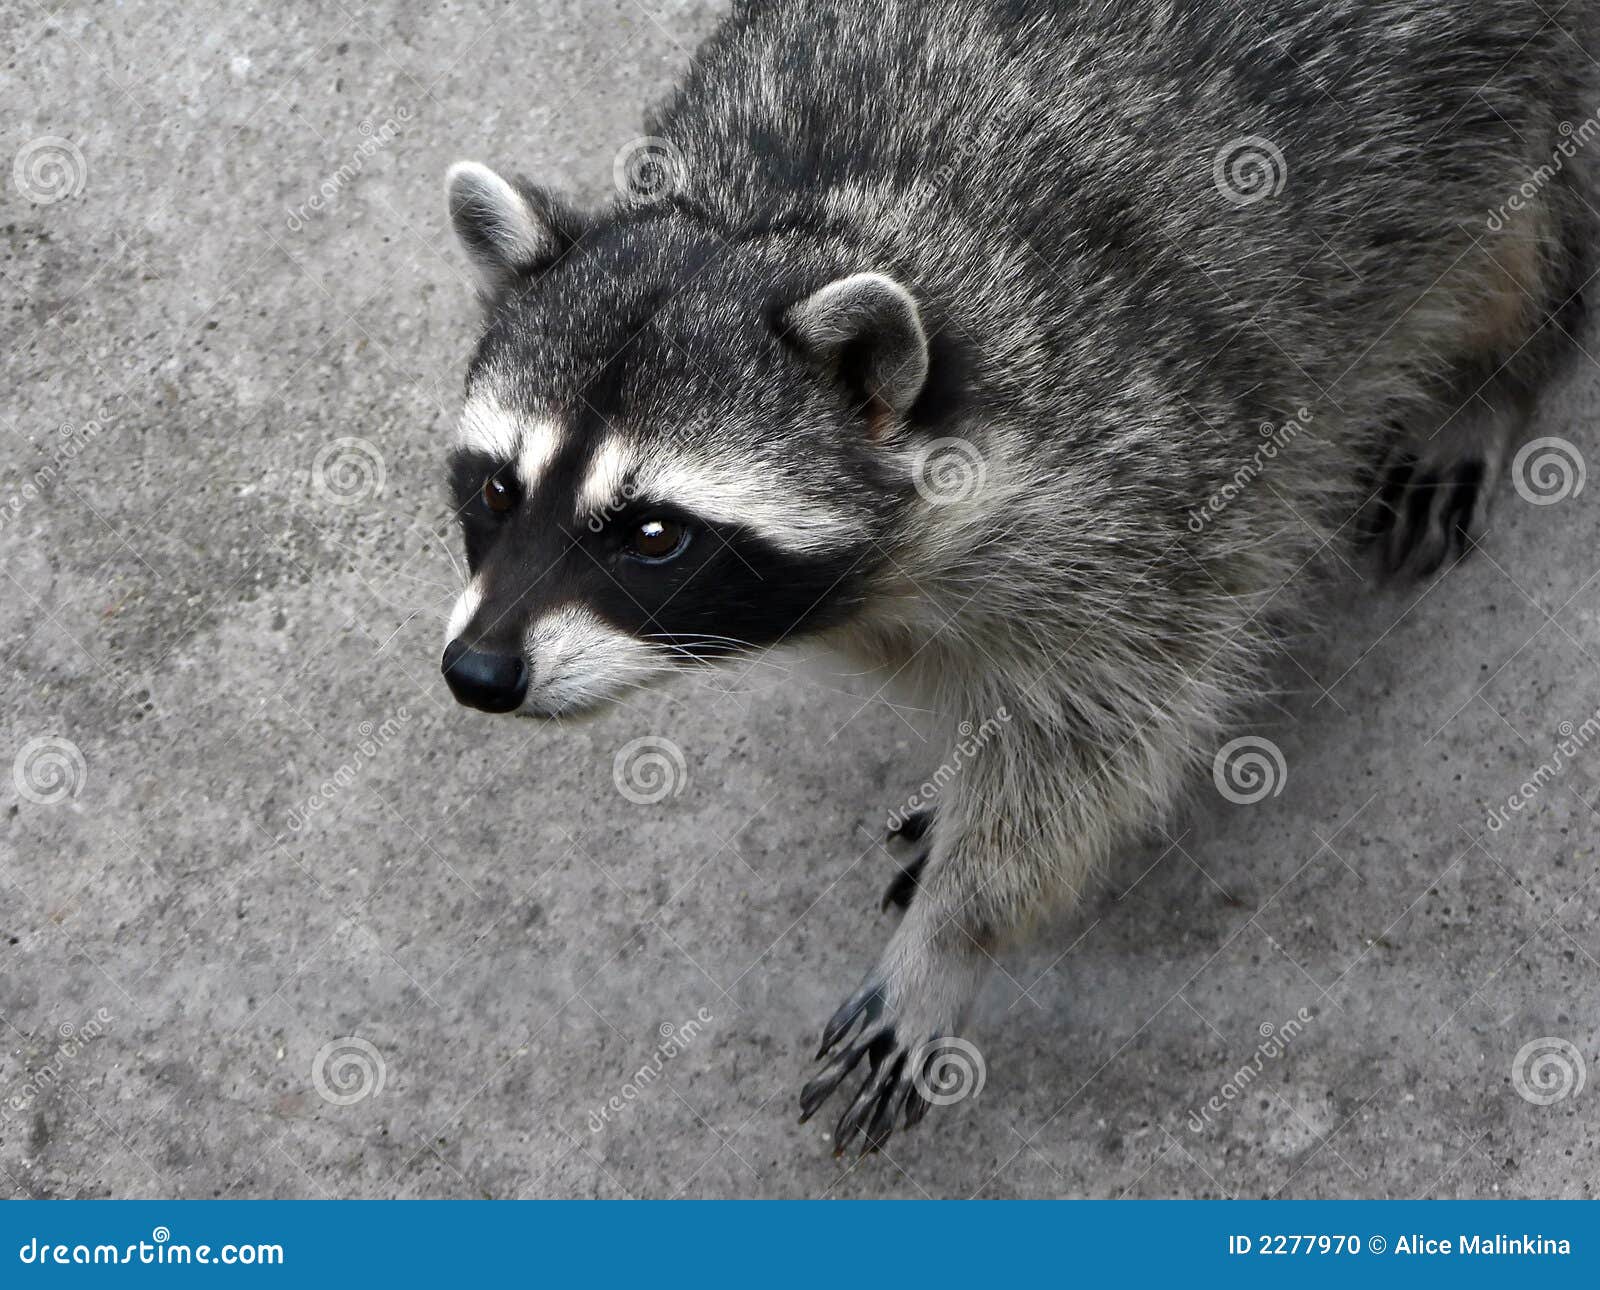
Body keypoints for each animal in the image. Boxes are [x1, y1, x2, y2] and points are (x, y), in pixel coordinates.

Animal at [439, 0, 1596, 1154]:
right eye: (496, 489)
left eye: (651, 534)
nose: (479, 672)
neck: (797, 216)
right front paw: (960, 794)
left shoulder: (1147, 493)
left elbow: (1101, 739)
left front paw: (956, 933)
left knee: (1529, 231)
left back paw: (1497, 371)